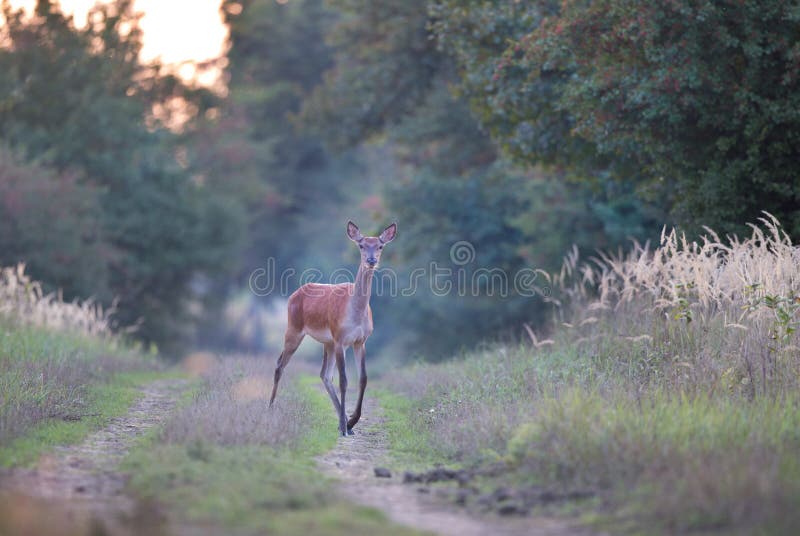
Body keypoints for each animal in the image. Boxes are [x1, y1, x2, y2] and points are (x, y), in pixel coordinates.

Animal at [269, 221, 397, 436]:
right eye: (361, 245)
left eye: (380, 246)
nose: (371, 260)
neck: (356, 313)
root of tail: (293, 295)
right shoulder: (340, 338)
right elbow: (344, 380)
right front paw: (347, 426)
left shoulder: (360, 341)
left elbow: (363, 378)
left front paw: (351, 422)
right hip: (294, 329)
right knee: (280, 364)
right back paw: (269, 408)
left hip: (326, 342)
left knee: (324, 374)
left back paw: (343, 422)